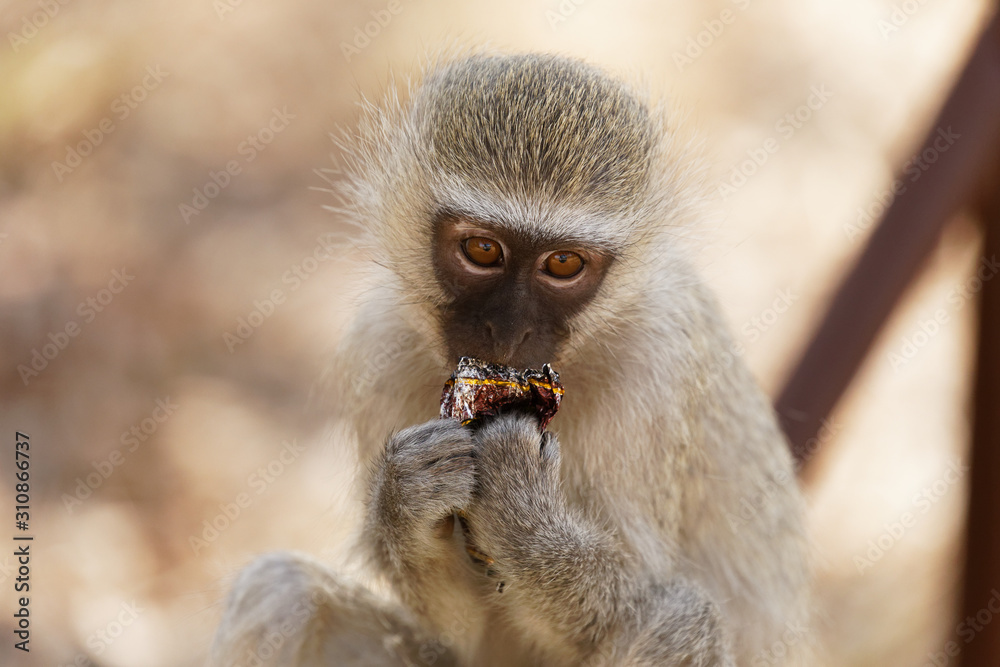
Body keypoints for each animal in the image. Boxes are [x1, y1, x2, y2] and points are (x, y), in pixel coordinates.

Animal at [209, 51, 812, 666]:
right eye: (482, 250)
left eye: (564, 264)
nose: (508, 331)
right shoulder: (379, 346)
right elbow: (456, 627)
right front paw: (404, 497)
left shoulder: (658, 364)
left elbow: (636, 591)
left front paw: (522, 509)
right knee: (280, 590)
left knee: (683, 618)